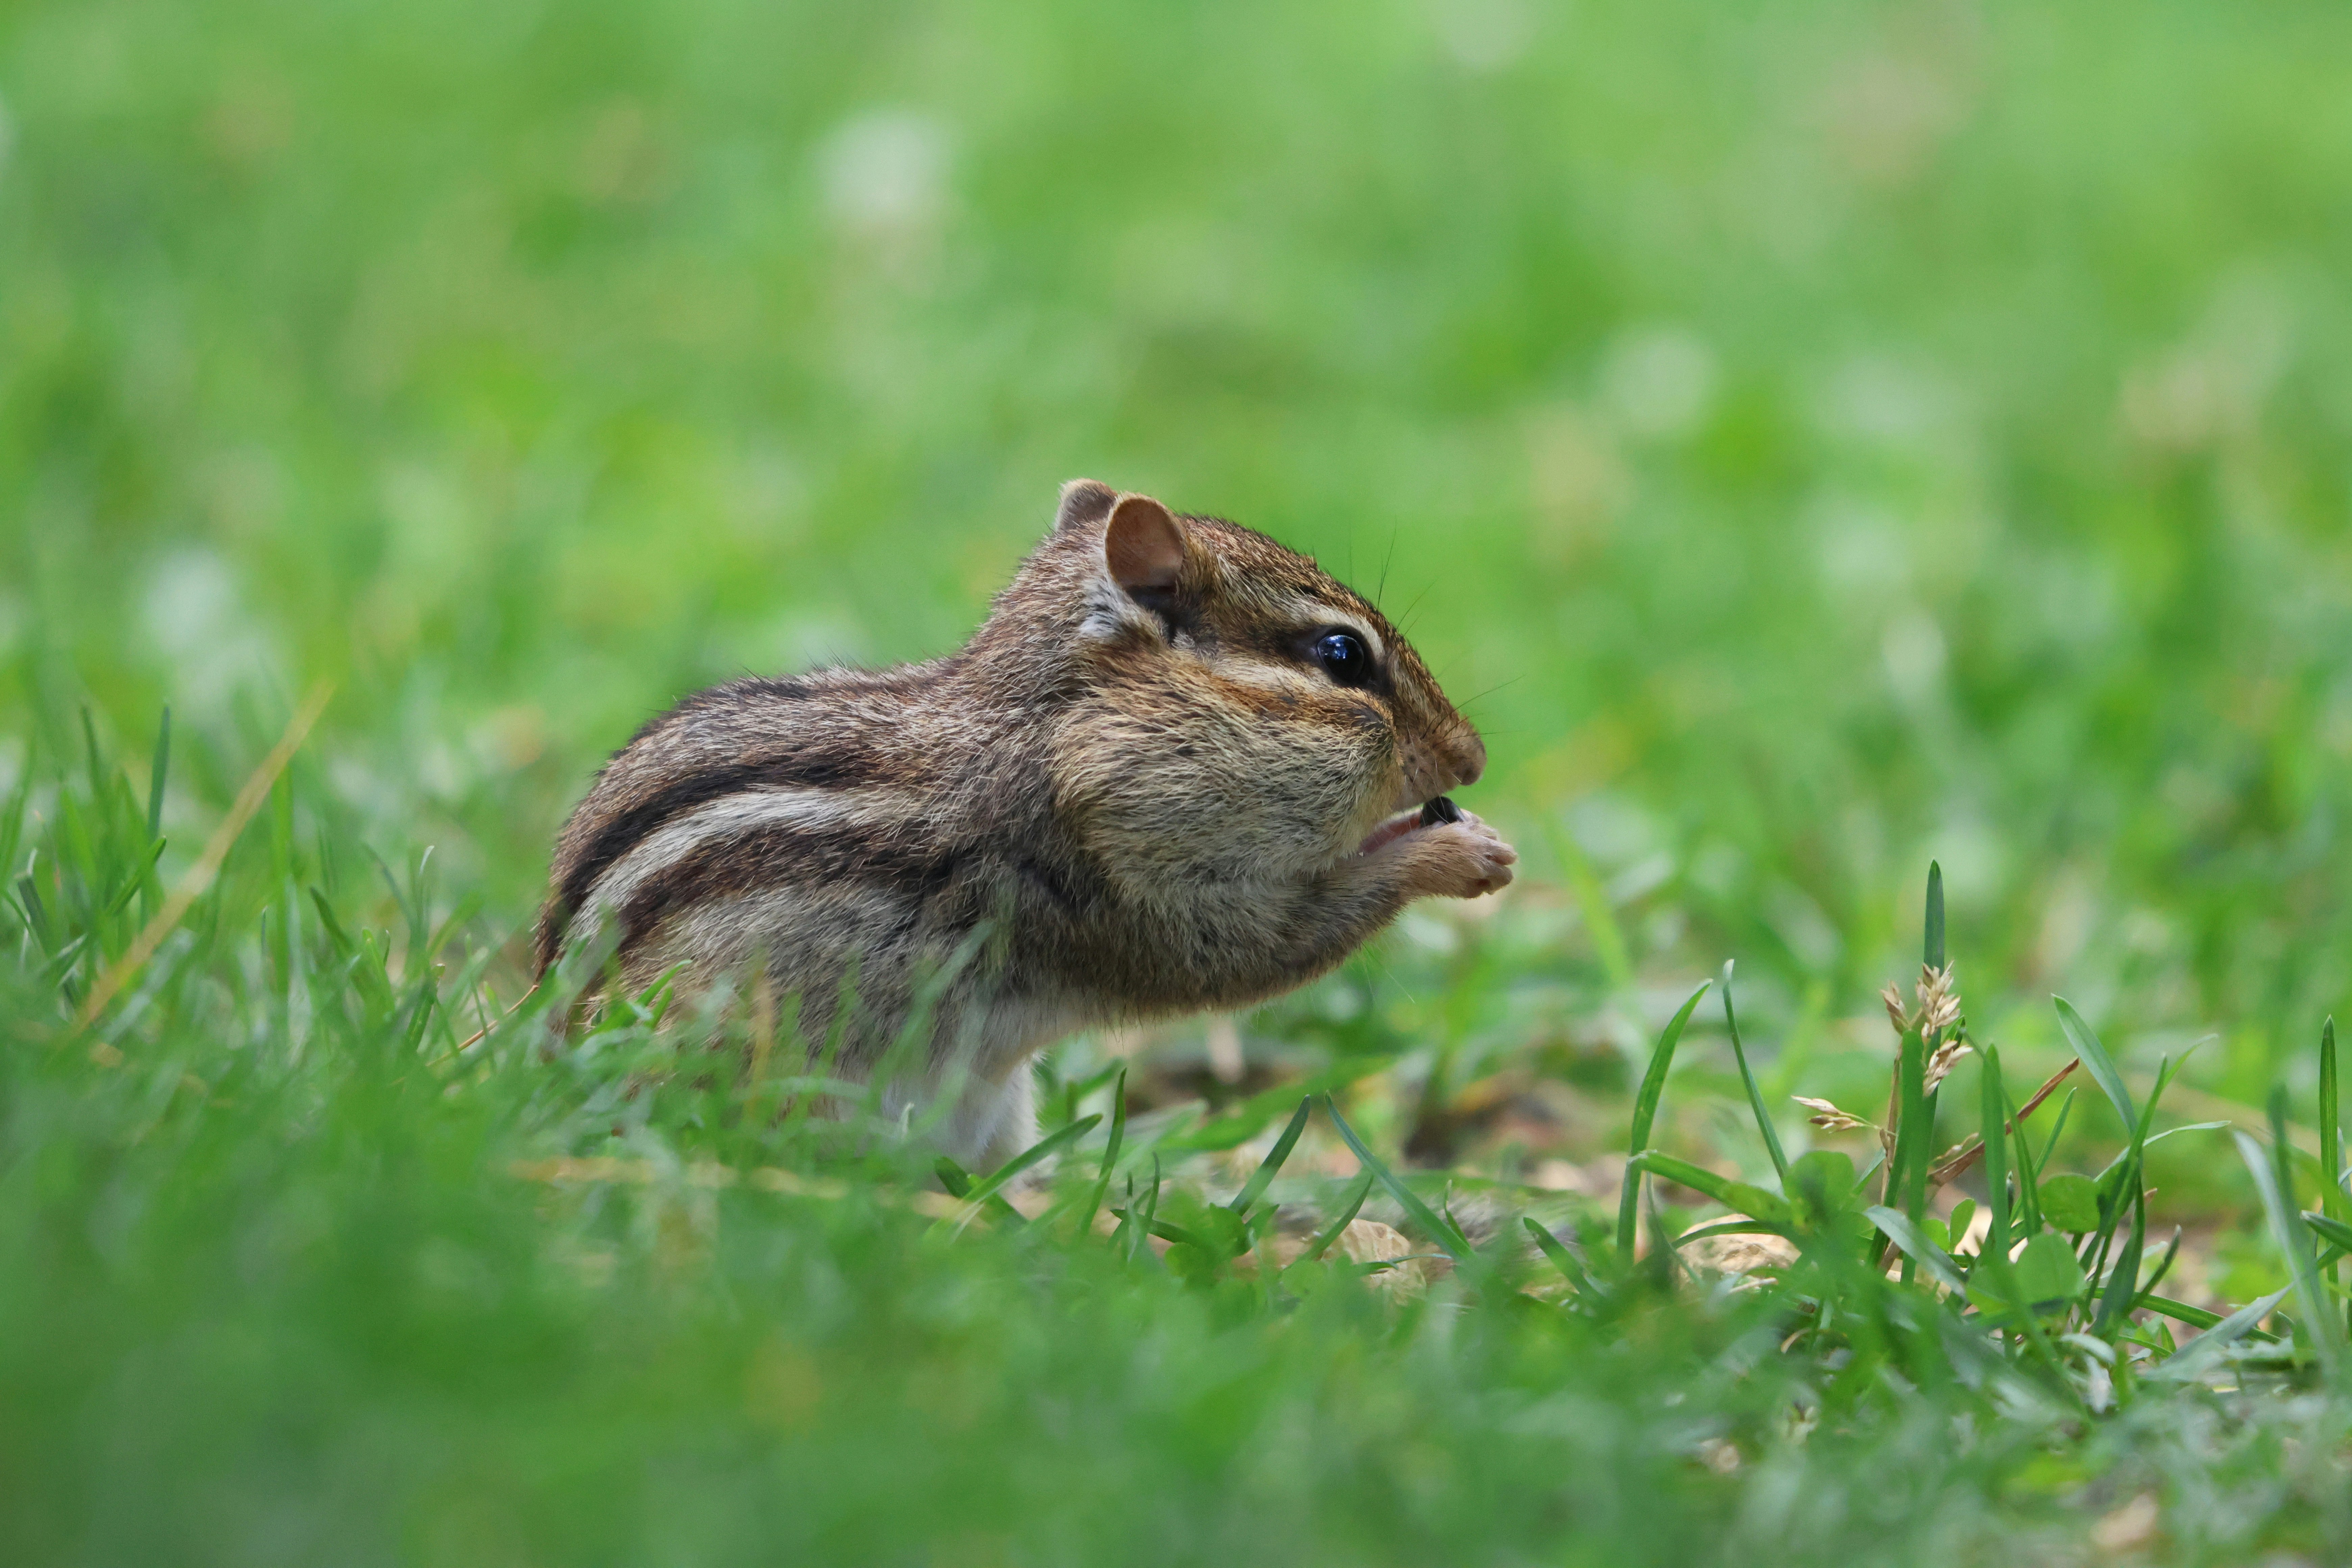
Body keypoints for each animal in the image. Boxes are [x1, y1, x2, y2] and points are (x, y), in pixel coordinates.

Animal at [536, 481, 1515, 1166]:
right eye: (1342, 656)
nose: (1471, 760)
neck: (1064, 728)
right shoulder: (1119, 886)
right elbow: (1262, 948)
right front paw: (1453, 852)